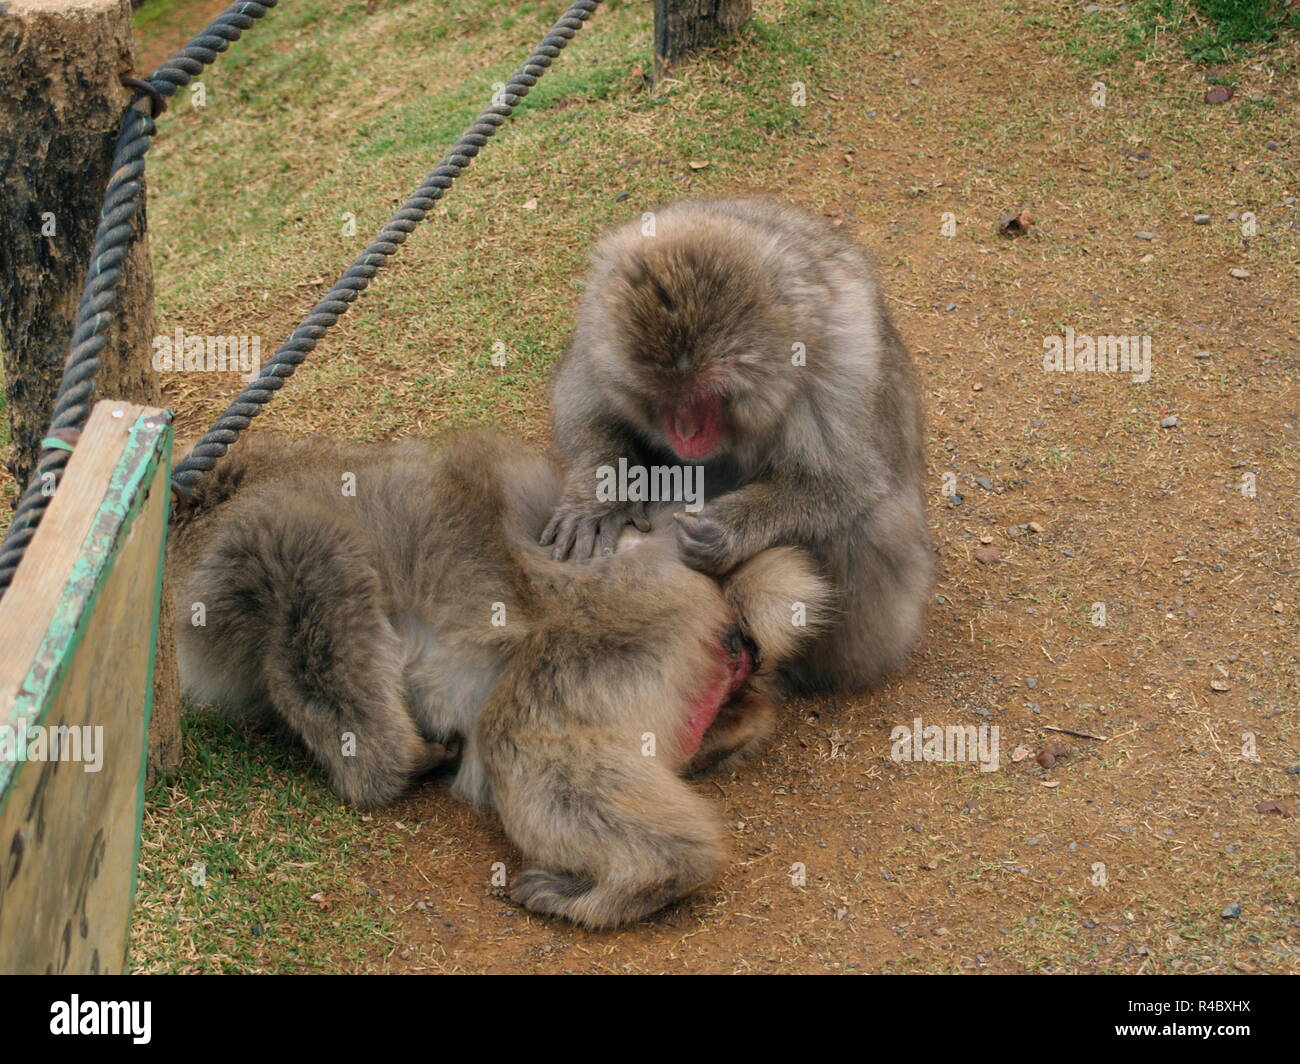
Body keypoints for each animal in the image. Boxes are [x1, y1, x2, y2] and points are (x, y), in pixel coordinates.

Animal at [168, 430, 829, 929]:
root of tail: (683, 564)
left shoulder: (246, 549)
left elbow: (321, 569)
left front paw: (393, 766)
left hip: (622, 624)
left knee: (518, 733)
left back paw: (646, 877)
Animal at [539, 197, 934, 695]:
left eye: (707, 394)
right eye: (664, 395)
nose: (685, 433)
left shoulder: (842, 367)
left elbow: (850, 484)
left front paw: (726, 529)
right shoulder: (597, 326)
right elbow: (586, 407)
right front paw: (600, 495)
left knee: (867, 524)